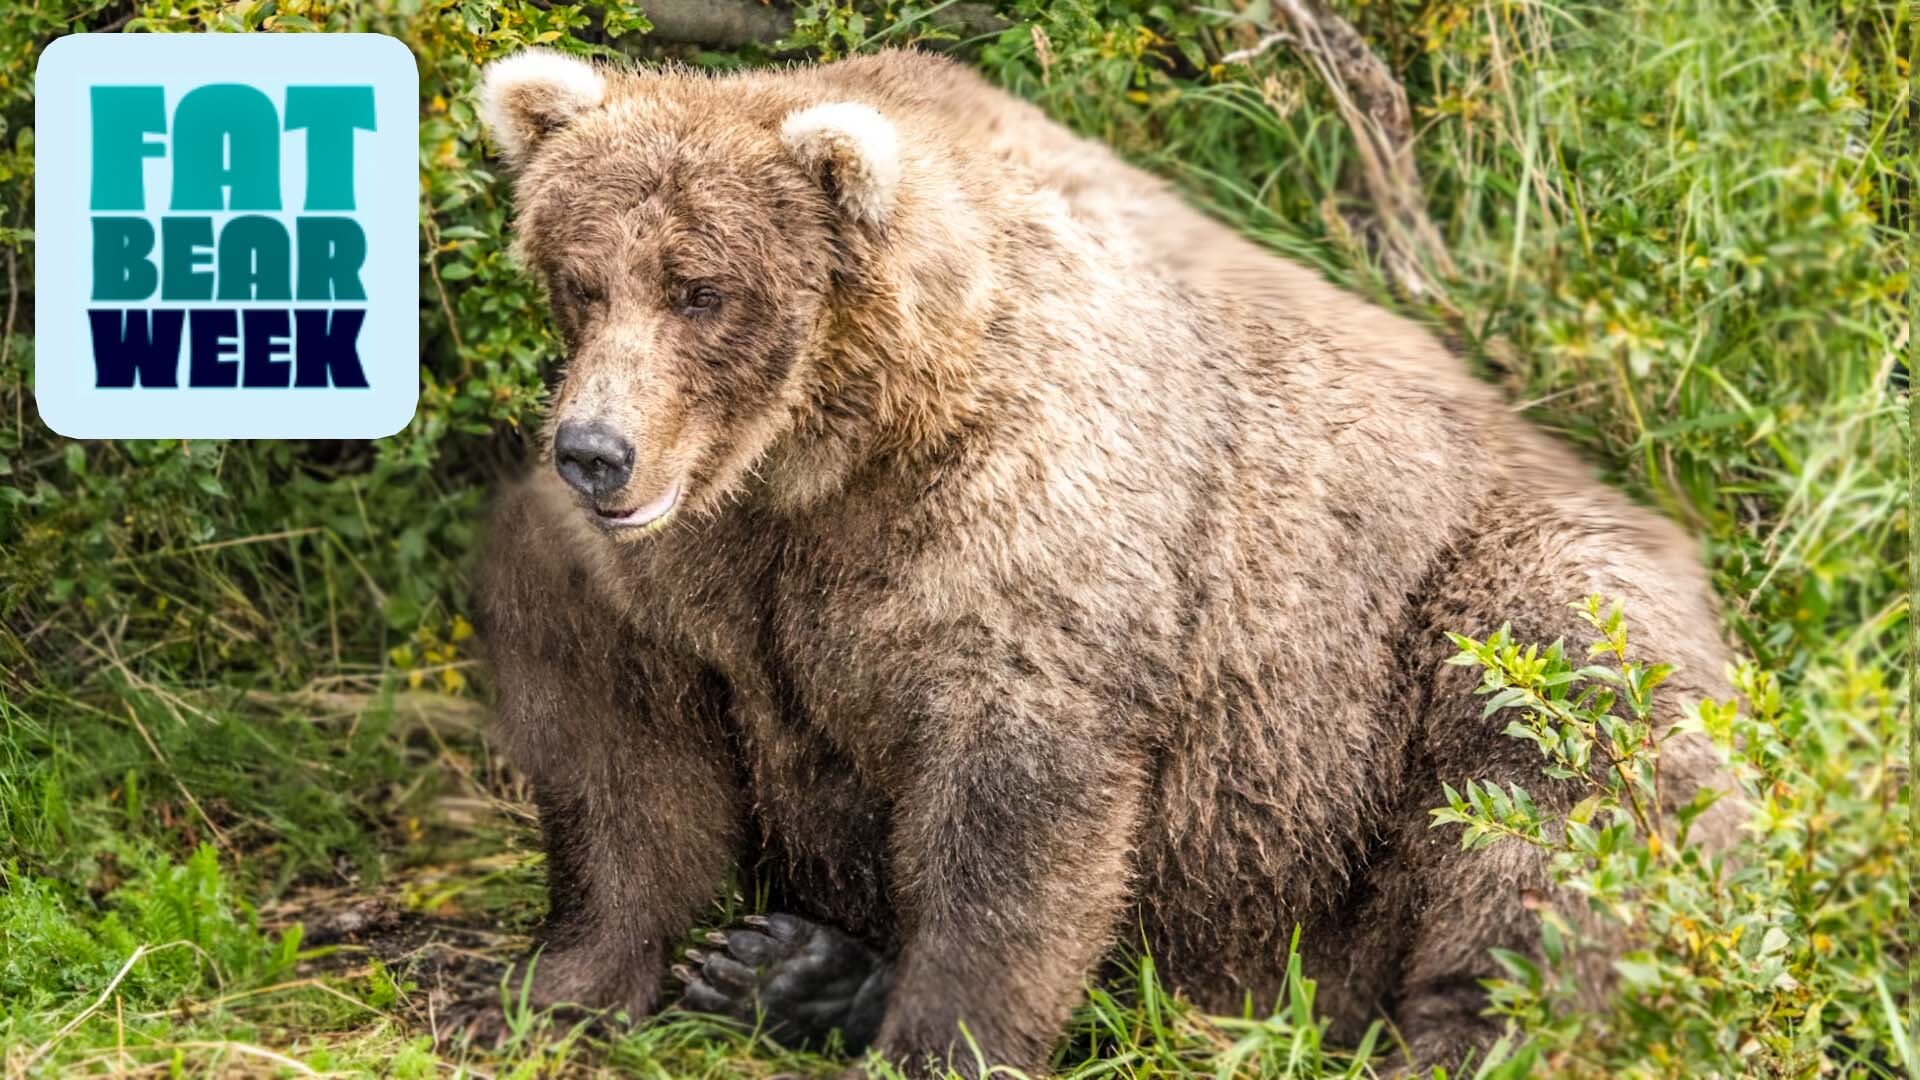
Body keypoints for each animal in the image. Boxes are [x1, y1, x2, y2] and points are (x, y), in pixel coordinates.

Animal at [465, 47, 1742, 1077]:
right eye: (582, 277)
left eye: (703, 289)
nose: (595, 451)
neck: (832, 456)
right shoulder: (693, 571)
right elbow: (617, 755)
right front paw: (556, 984)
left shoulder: (1022, 528)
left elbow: (1015, 804)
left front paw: (944, 1042)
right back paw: (793, 968)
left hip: (1472, 637)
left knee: (1552, 802)